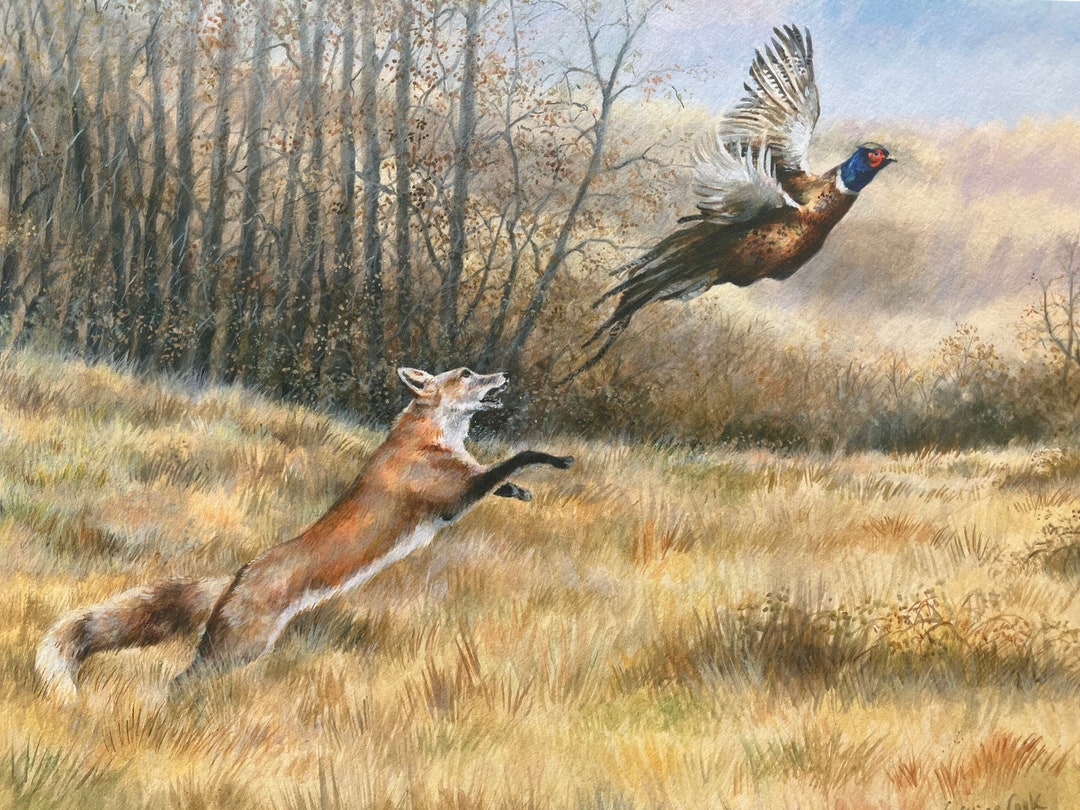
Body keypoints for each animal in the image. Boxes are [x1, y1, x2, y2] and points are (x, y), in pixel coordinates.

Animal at [36, 366, 573, 702]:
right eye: (466, 374)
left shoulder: (463, 484)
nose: (504, 374)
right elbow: (515, 458)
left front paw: (522, 491)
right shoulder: (452, 497)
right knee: (181, 679)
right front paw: (555, 460)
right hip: (239, 650)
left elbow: (501, 475)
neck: (432, 437)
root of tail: (240, 573)